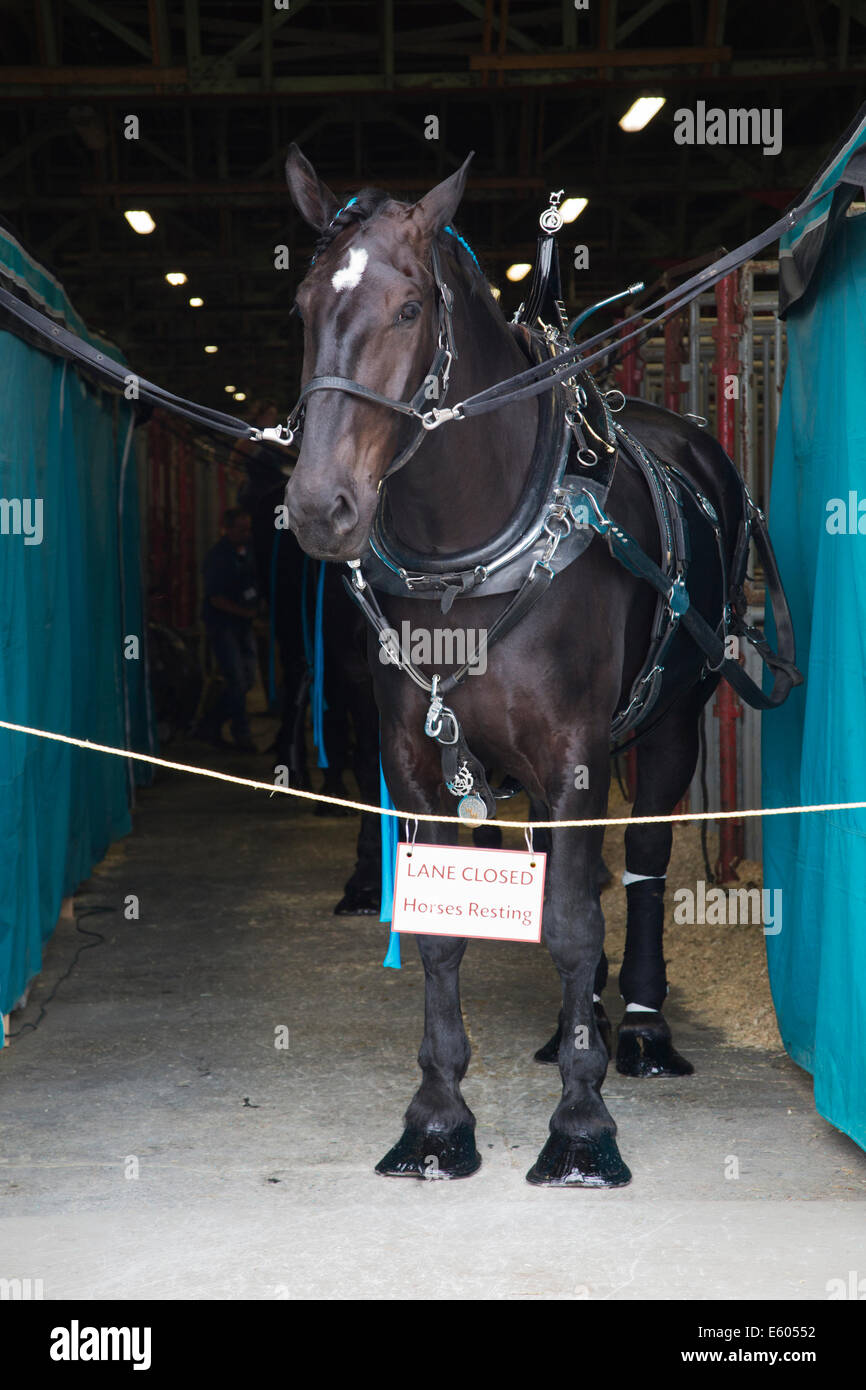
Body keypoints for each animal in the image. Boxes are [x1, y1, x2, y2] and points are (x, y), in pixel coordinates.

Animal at [281, 145, 787, 1187]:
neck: (472, 554)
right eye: (304, 306)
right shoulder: (416, 759)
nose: (320, 506)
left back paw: (638, 1028)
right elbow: (445, 927)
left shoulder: (577, 755)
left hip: (670, 724)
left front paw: (583, 1128)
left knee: (638, 867)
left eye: (409, 308)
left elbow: (573, 923)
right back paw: (572, 1027)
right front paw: (437, 1121)